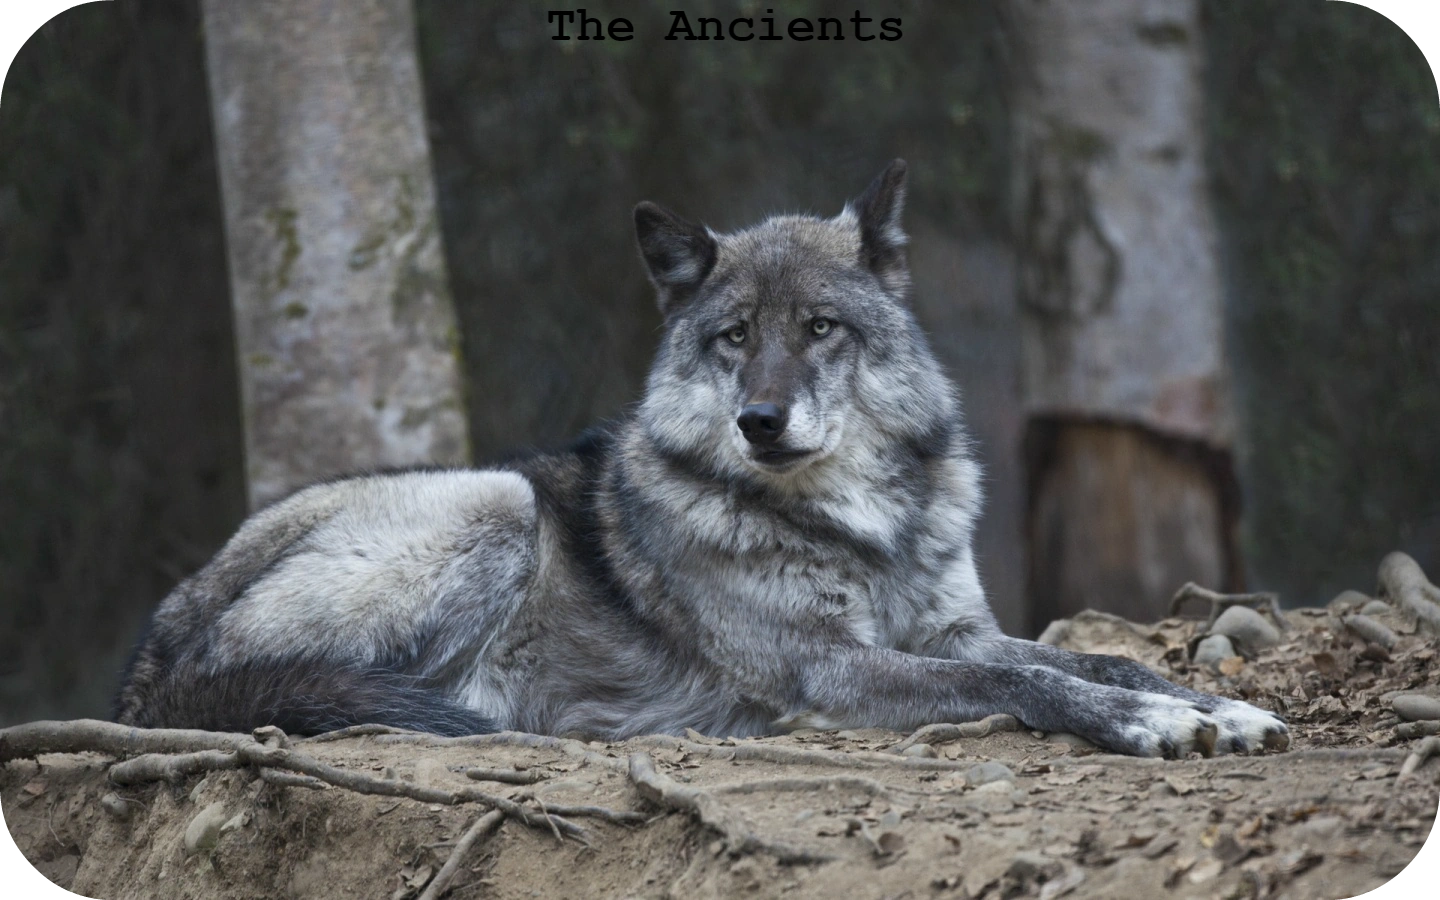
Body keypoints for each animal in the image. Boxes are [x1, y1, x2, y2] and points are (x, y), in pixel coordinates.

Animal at [115, 161, 1288, 758]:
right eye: (733, 336)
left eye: (820, 328)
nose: (760, 420)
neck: (861, 526)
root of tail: (146, 660)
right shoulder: (833, 667)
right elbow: (1030, 683)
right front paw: (1152, 723)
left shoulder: (956, 628)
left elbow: (1089, 658)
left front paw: (1209, 704)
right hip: (493, 500)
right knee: (321, 692)